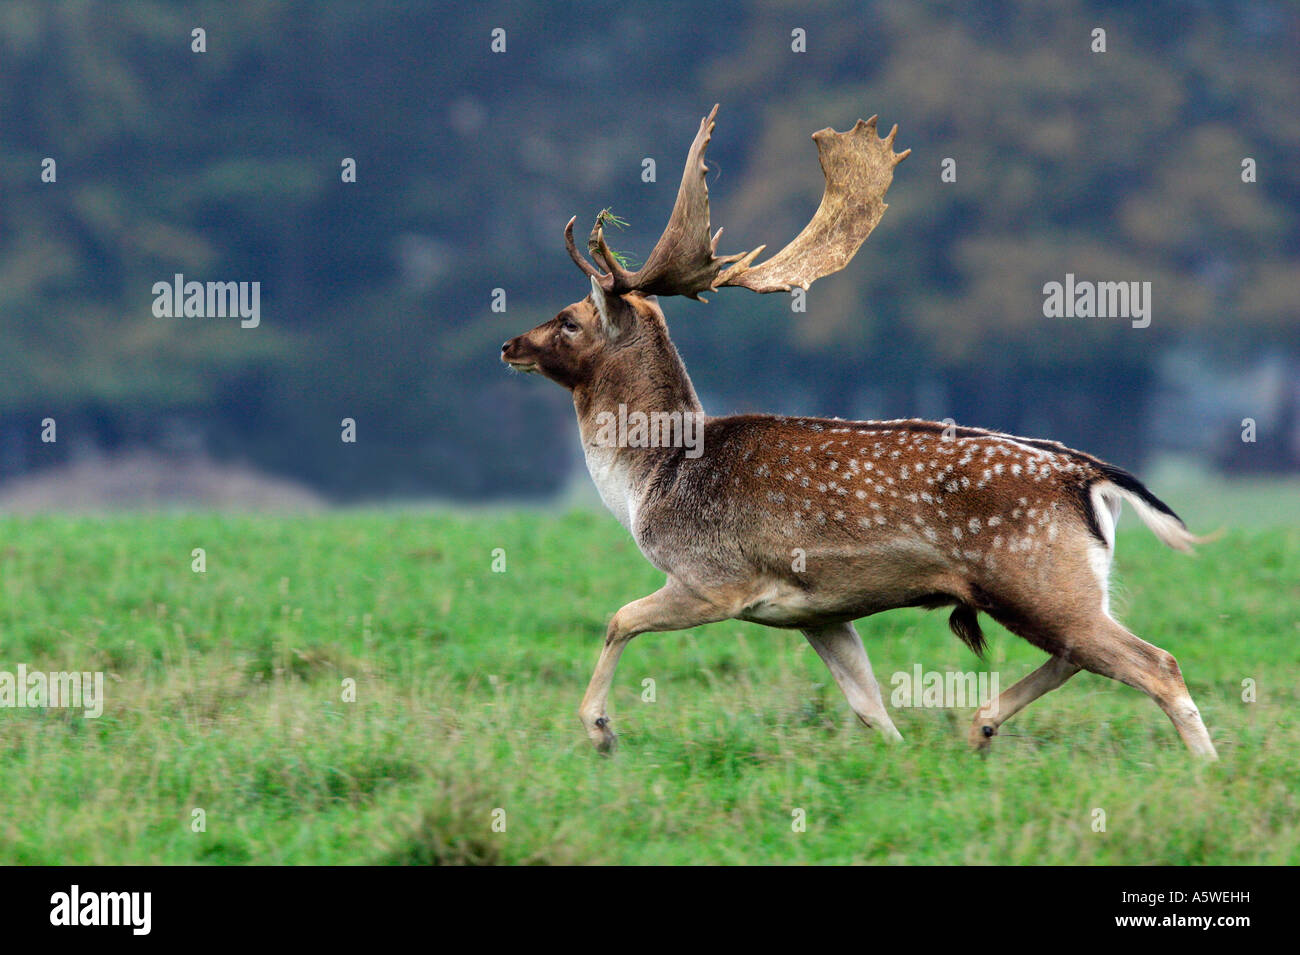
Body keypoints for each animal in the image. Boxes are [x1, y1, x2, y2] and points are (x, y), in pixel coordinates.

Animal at [500, 105, 1218, 759]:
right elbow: (868, 703)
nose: (510, 344)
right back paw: (982, 723)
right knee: (1084, 654)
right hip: (1058, 586)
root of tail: (1091, 476)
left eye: (569, 319)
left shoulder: (715, 578)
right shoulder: (817, 611)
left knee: (1154, 663)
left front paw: (600, 729)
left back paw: (1203, 769)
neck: (654, 477)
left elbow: (617, 618)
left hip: (1036, 575)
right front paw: (899, 757)